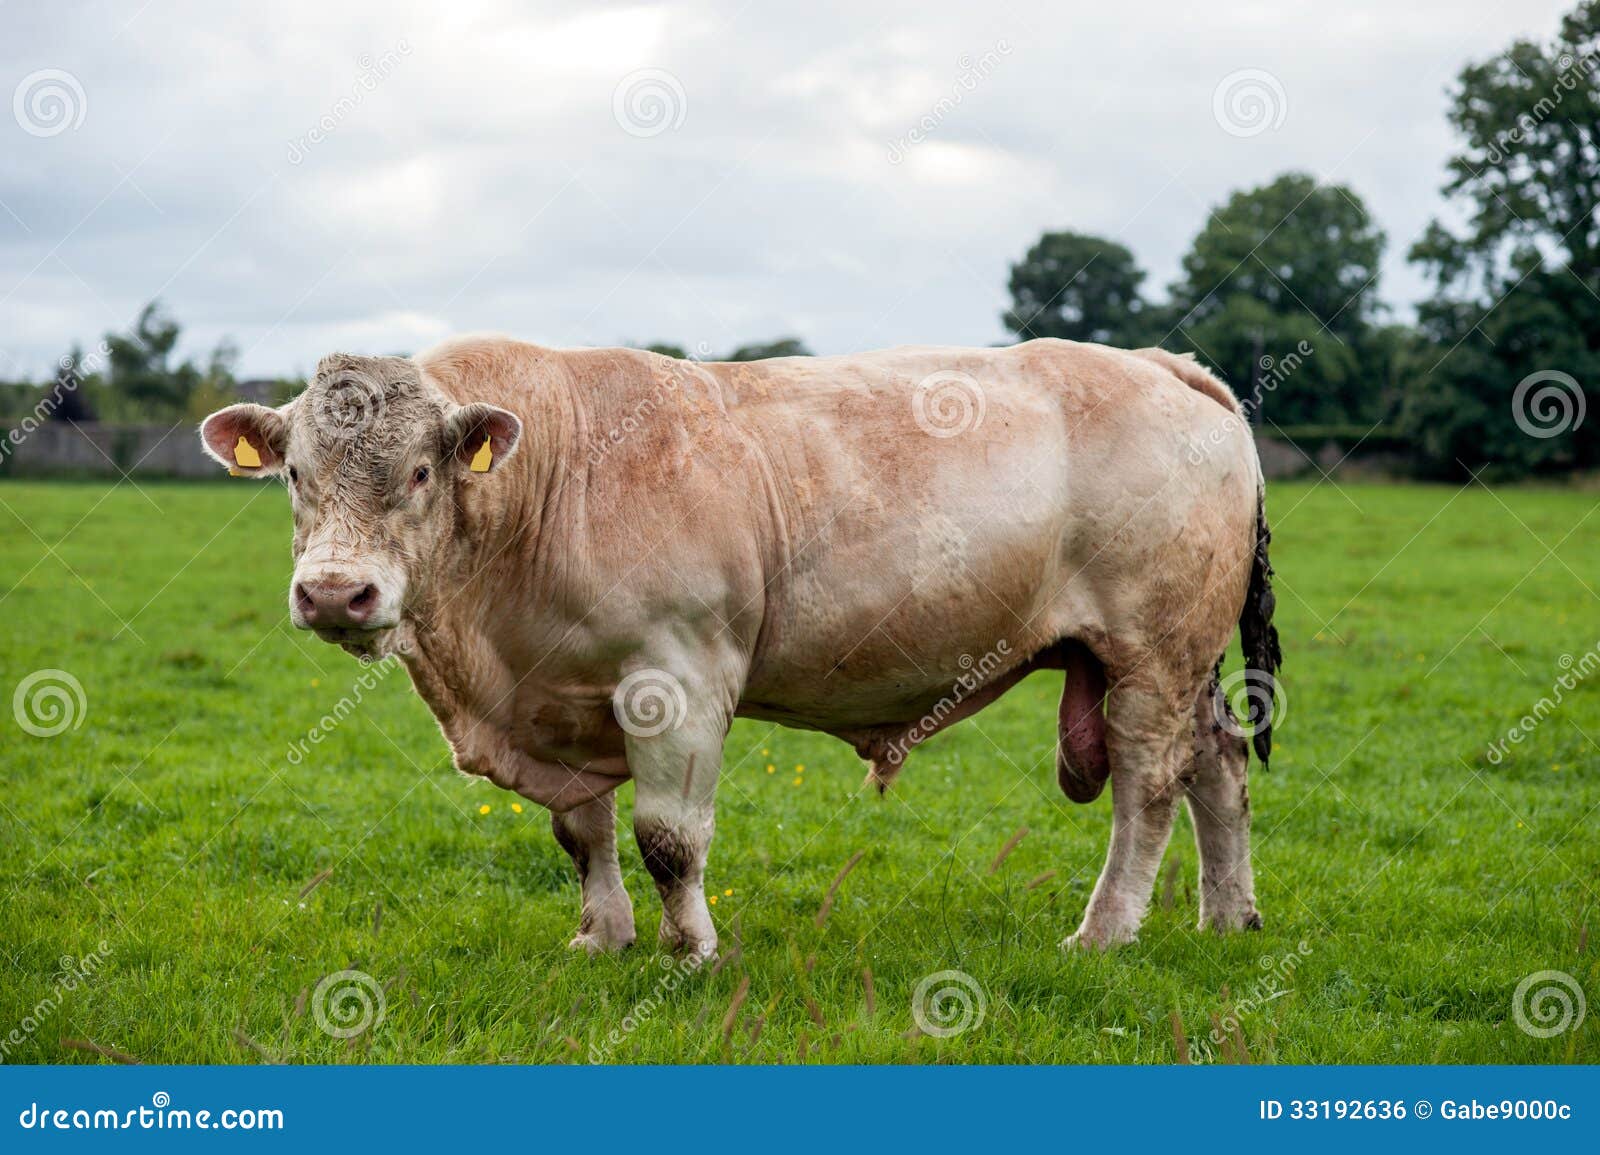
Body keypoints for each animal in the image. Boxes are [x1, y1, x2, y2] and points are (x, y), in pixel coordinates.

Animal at [199, 335, 1280, 959]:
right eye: (293, 474)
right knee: (1218, 763)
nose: (335, 593)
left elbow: (668, 839)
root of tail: (1160, 361)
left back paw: (1105, 932)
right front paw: (602, 936)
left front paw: (692, 952)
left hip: (1150, 651)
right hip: (1180, 663)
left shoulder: (673, 682)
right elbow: (582, 833)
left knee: (1148, 788)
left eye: (422, 472)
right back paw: (1228, 915)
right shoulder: (561, 697)